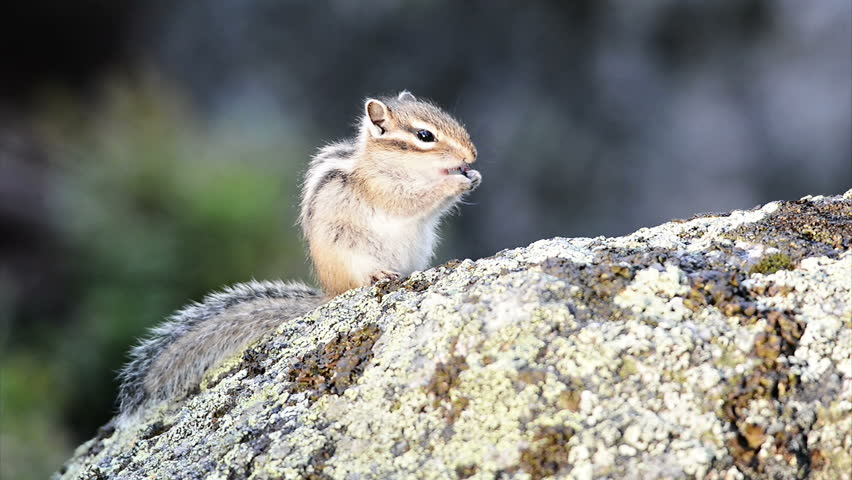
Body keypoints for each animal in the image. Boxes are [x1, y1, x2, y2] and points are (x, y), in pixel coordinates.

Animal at [116, 91, 481, 424]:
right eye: (425, 136)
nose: (473, 155)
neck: (386, 162)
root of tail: (330, 292)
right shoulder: (383, 188)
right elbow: (411, 200)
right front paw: (453, 183)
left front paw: (473, 177)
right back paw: (379, 276)